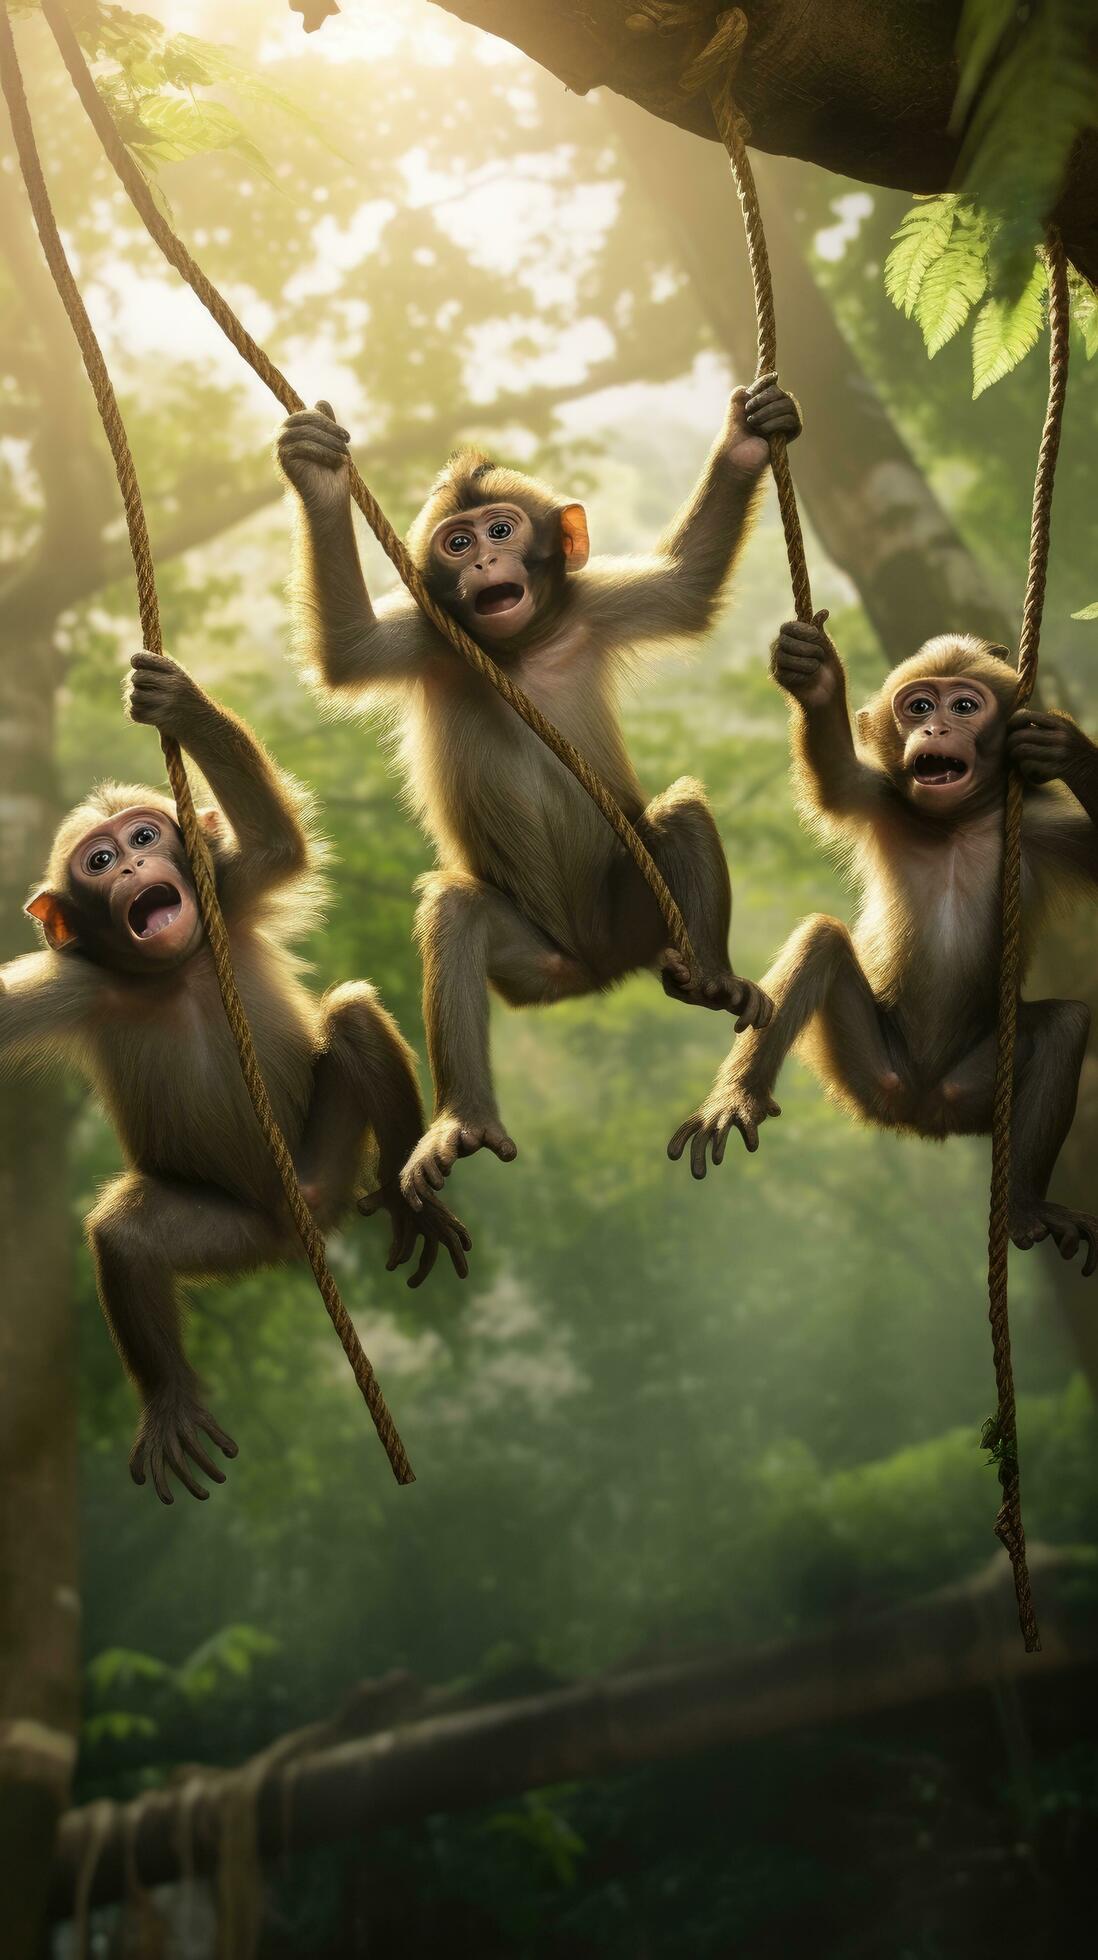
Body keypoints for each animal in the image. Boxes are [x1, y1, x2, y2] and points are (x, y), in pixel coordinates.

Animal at [0, 653, 470, 1504]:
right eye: (99, 861)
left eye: (146, 835)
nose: (135, 864)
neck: (174, 969)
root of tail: (299, 1225)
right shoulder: (67, 984)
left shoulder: (231, 891)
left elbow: (279, 845)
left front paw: (180, 703)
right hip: (233, 1229)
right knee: (126, 1234)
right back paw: (169, 1403)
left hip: (325, 1163)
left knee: (352, 1017)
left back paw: (408, 1192)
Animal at [276, 379, 801, 1205]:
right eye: (457, 544)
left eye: (501, 528)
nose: (488, 556)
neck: (516, 651)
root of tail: (597, 971)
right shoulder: (427, 636)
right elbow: (347, 647)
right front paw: (317, 470)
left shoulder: (591, 608)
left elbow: (685, 587)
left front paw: (749, 436)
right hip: (537, 964)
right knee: (458, 913)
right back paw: (463, 1119)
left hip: (635, 921)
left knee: (675, 814)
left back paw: (712, 979)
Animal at [668, 611, 1098, 1273]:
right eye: (919, 706)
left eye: (964, 706)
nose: (936, 726)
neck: (956, 825)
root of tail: (919, 1112)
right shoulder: (882, 799)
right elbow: (836, 778)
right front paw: (814, 674)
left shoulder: (1044, 829)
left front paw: (1065, 747)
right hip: (866, 1067)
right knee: (821, 939)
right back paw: (737, 1098)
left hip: (974, 1085)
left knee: (1066, 1024)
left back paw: (1026, 1206)